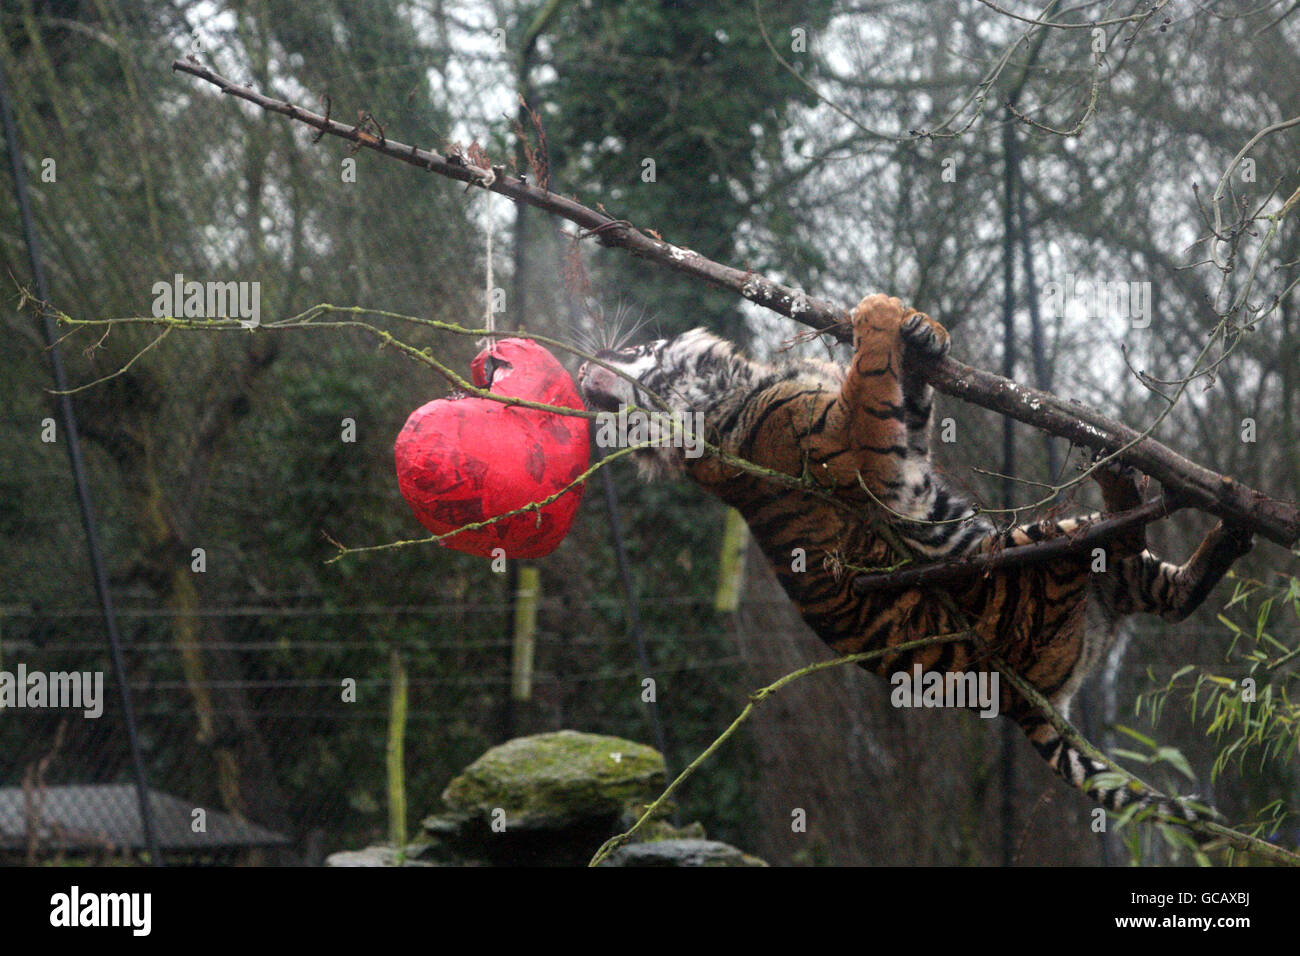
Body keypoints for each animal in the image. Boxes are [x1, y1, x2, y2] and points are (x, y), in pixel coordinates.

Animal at [577, 293, 1255, 823]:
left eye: (638, 349)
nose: (583, 371)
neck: (723, 397)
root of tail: (1022, 702)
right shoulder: (859, 452)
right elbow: (872, 379)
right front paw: (877, 314)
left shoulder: (902, 445)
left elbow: (908, 397)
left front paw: (925, 330)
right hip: (1029, 551)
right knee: (1135, 563)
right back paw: (1127, 483)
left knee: (1172, 593)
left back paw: (1221, 520)